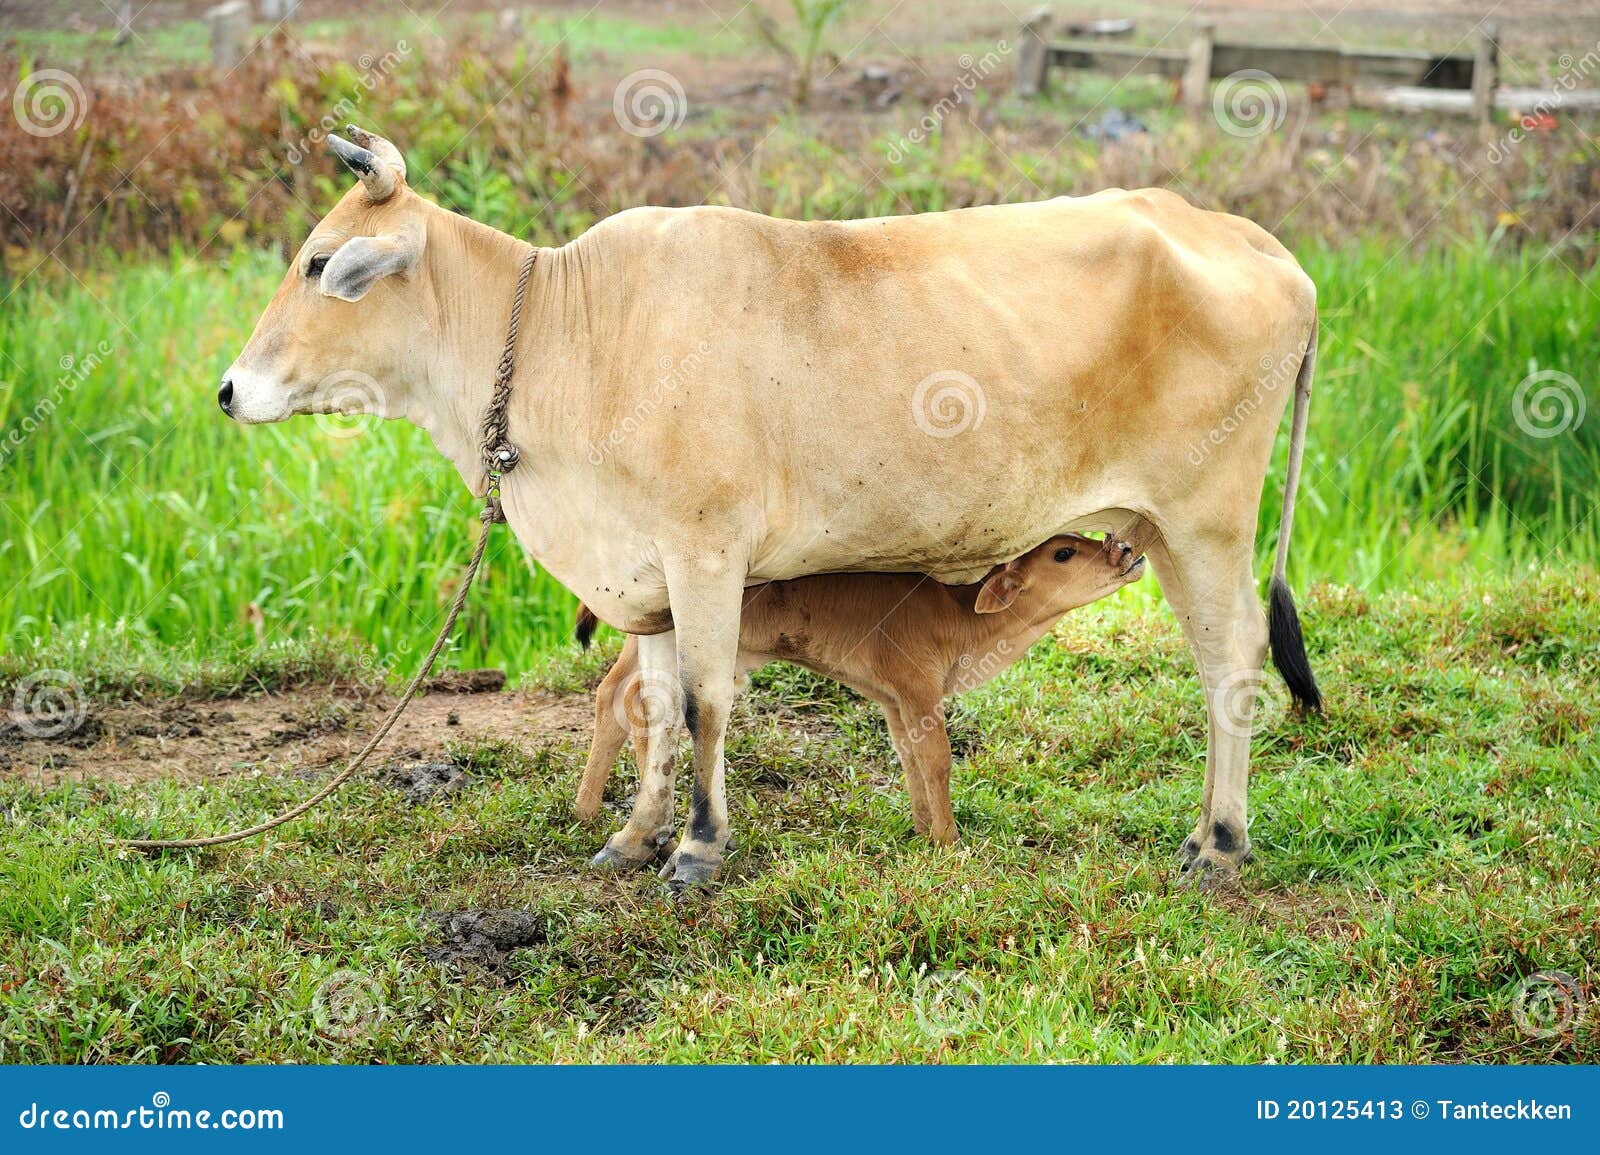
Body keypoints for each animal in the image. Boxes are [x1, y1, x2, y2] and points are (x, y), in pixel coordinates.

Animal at [574, 532, 1147, 853]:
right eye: (1064, 553)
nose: (1126, 549)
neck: (960, 618)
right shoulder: (918, 690)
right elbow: (937, 759)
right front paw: (950, 842)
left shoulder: (893, 699)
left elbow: (910, 758)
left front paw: (923, 829)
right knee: (635, 704)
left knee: (616, 699)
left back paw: (592, 809)